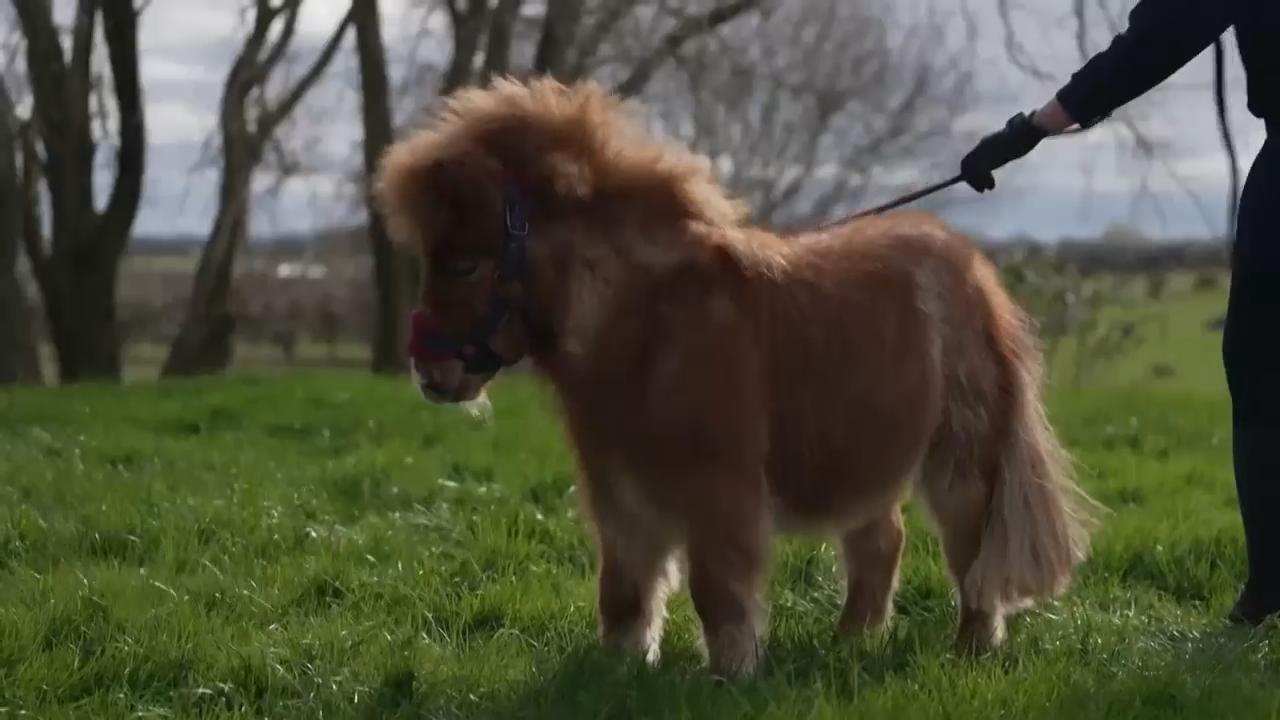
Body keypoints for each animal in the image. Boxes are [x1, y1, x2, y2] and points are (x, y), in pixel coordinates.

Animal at [373, 76, 1098, 678]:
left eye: (467, 263)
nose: (428, 371)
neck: (644, 325)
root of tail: (971, 264)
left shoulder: (719, 491)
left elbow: (717, 589)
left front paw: (730, 674)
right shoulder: (619, 493)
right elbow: (624, 592)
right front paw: (620, 668)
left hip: (961, 458)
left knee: (971, 552)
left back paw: (971, 648)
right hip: (865, 454)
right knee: (881, 545)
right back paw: (849, 643)